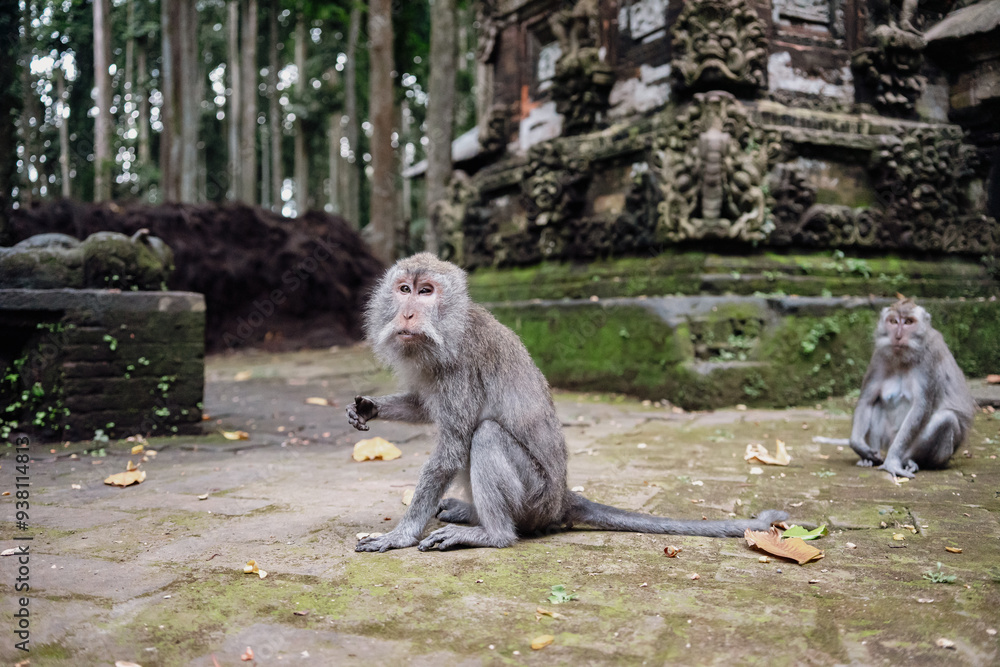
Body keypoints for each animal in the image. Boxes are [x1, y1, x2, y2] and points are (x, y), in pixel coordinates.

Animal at [347, 253, 788, 552]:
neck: (450, 328)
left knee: (486, 435)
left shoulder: (460, 370)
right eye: (404, 289)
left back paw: (492, 534)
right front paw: (369, 407)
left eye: (426, 292)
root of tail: (561, 498)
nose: (407, 314)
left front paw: (400, 534)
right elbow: (425, 408)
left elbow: (450, 452)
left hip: (535, 497)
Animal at [849, 297, 976, 479]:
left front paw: (892, 461)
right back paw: (870, 459)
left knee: (946, 418)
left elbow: (920, 408)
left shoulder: (929, 361)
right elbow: (866, 401)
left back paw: (909, 461)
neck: (902, 359)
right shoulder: (879, 357)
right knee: (877, 404)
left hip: (943, 454)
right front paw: (859, 446)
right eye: (893, 321)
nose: (898, 336)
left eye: (909, 322)